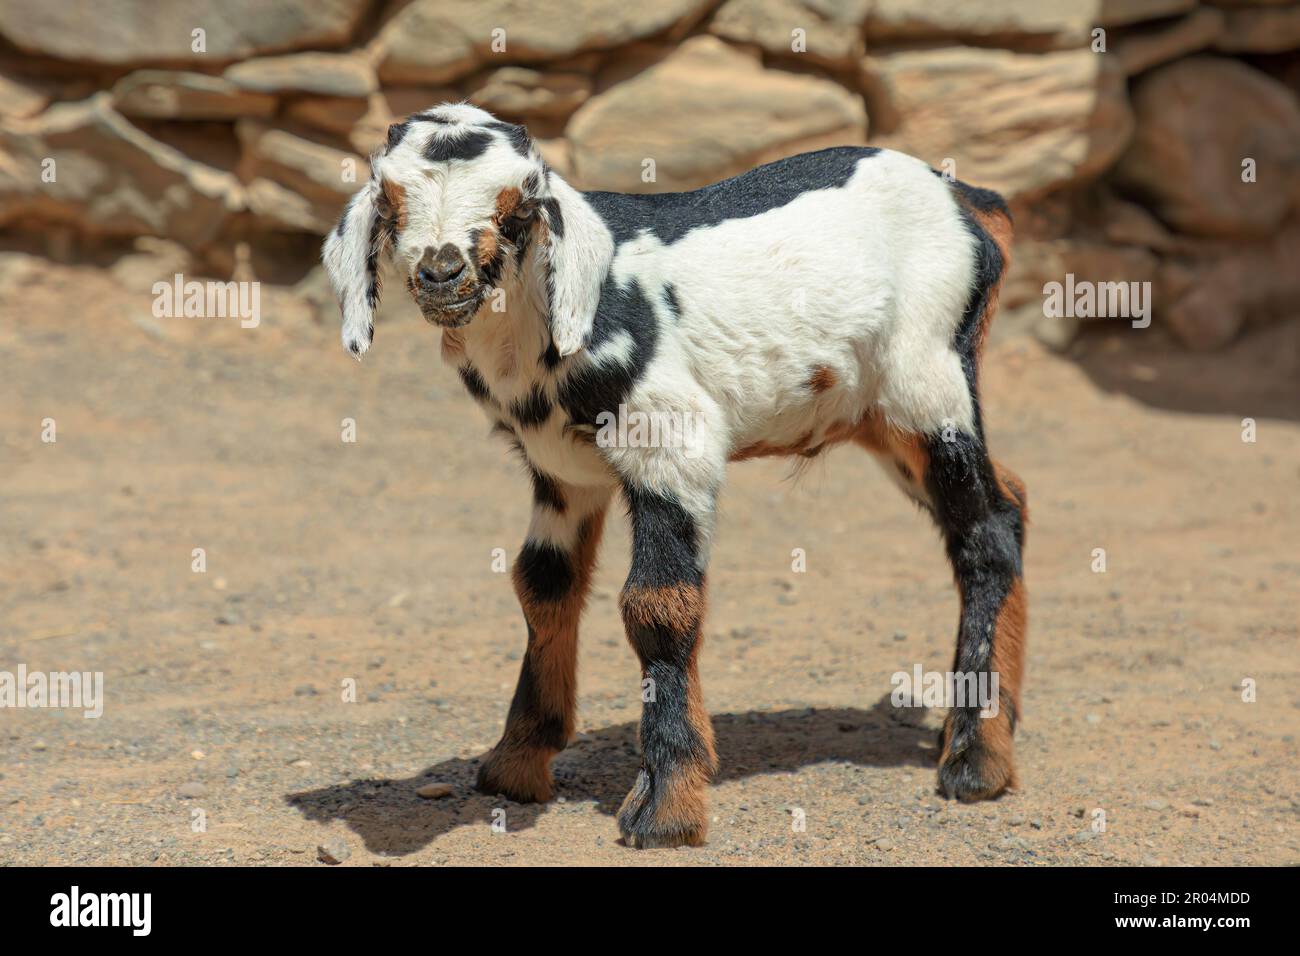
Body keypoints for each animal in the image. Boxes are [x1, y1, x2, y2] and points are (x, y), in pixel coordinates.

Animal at [323, 103, 1028, 849]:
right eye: (390, 199)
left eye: (519, 204)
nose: (442, 271)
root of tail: (973, 202)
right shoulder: (561, 472)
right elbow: (541, 585)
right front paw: (517, 762)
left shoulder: (673, 443)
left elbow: (657, 606)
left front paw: (666, 805)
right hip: (884, 416)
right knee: (1013, 494)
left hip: (928, 383)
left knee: (988, 530)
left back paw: (976, 759)